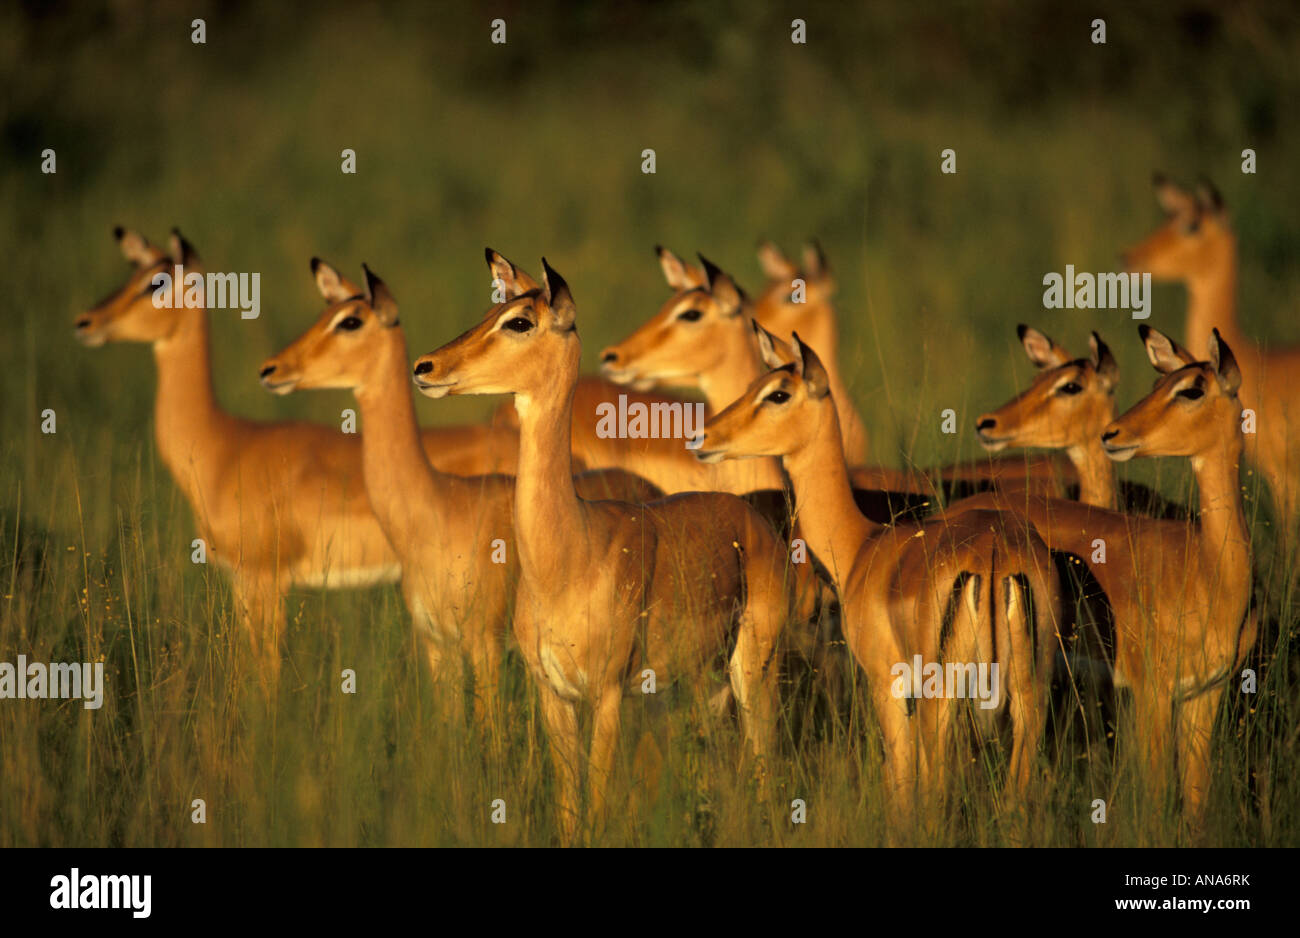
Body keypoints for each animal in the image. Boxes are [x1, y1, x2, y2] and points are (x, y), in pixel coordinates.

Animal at [412, 254, 807, 843]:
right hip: (702, 683)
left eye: (520, 321)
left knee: (765, 764)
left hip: (753, 669)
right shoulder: (553, 694)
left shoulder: (609, 694)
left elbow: (596, 804)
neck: (570, 554)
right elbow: (569, 808)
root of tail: (753, 520)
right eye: (490, 309)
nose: (426, 366)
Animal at [693, 324, 1062, 824]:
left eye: (778, 393)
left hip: (942, 699)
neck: (863, 546)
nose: (705, 436)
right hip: (1029, 697)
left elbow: (902, 785)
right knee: (1016, 797)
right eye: (755, 384)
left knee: (935, 792)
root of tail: (996, 554)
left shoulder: (887, 684)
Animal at [953, 325, 1256, 823]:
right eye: (1157, 383)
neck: (1209, 570)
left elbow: (1195, 800)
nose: (1114, 434)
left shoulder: (1204, 695)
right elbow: (1156, 797)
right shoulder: (1153, 695)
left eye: (1191, 389)